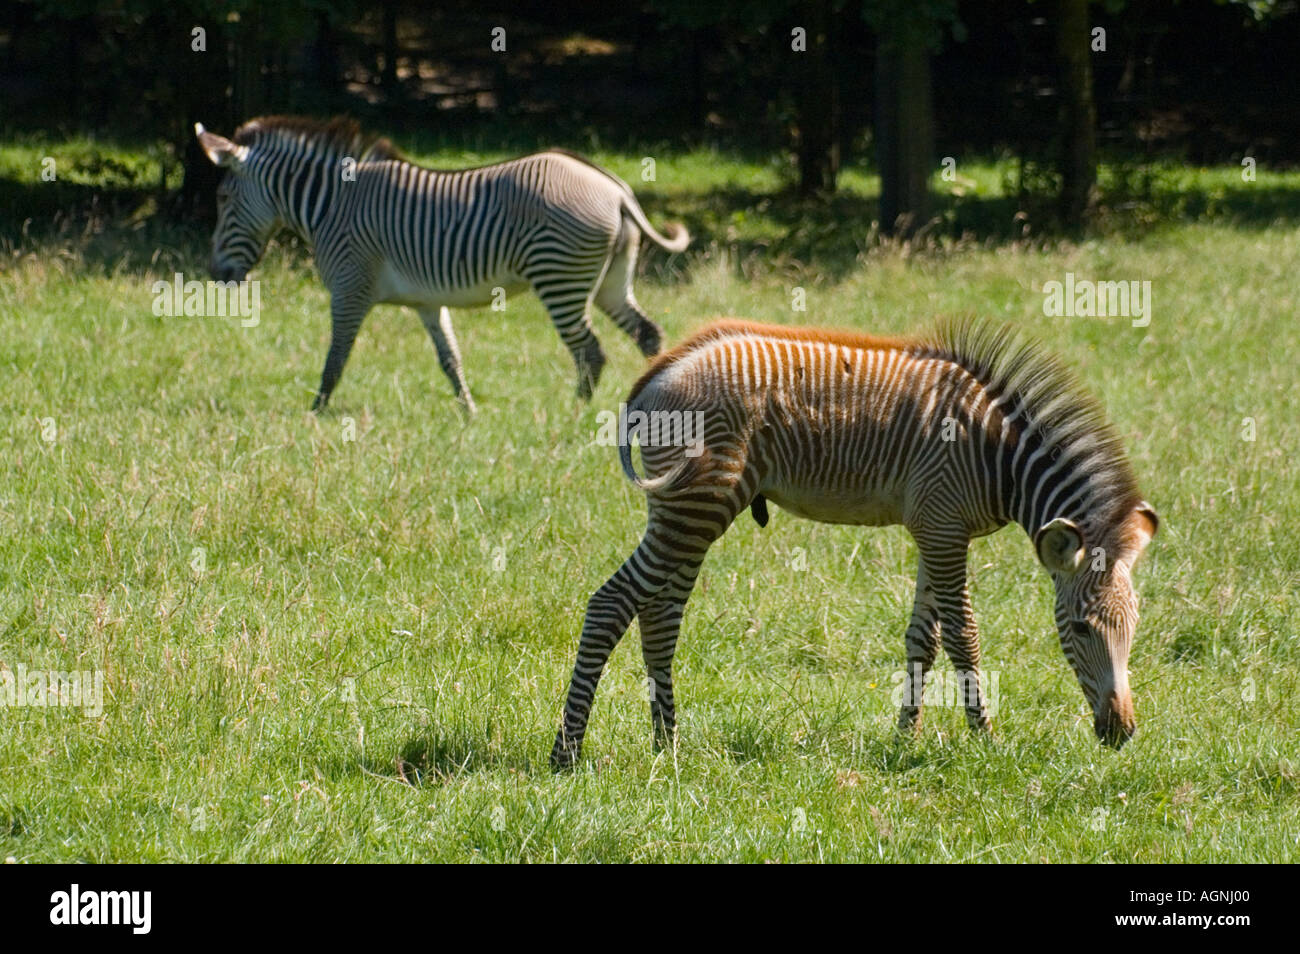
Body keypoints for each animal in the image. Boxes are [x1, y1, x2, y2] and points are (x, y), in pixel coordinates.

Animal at [193, 116, 689, 412]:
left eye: (222, 198)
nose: (217, 276)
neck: (331, 204)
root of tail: (616, 188)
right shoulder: (427, 303)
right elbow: (450, 358)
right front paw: (469, 412)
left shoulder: (350, 286)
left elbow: (336, 356)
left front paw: (315, 412)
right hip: (609, 280)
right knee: (647, 333)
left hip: (559, 277)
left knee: (589, 351)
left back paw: (573, 412)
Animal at [552, 318, 1159, 769]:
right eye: (1079, 628)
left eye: (1134, 629)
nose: (1123, 733)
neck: (998, 456)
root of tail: (658, 372)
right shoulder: (944, 531)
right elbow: (964, 637)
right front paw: (985, 737)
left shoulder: (937, 529)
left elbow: (922, 641)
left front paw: (906, 738)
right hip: (694, 509)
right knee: (611, 604)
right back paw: (568, 751)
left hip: (688, 512)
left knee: (658, 616)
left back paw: (668, 746)